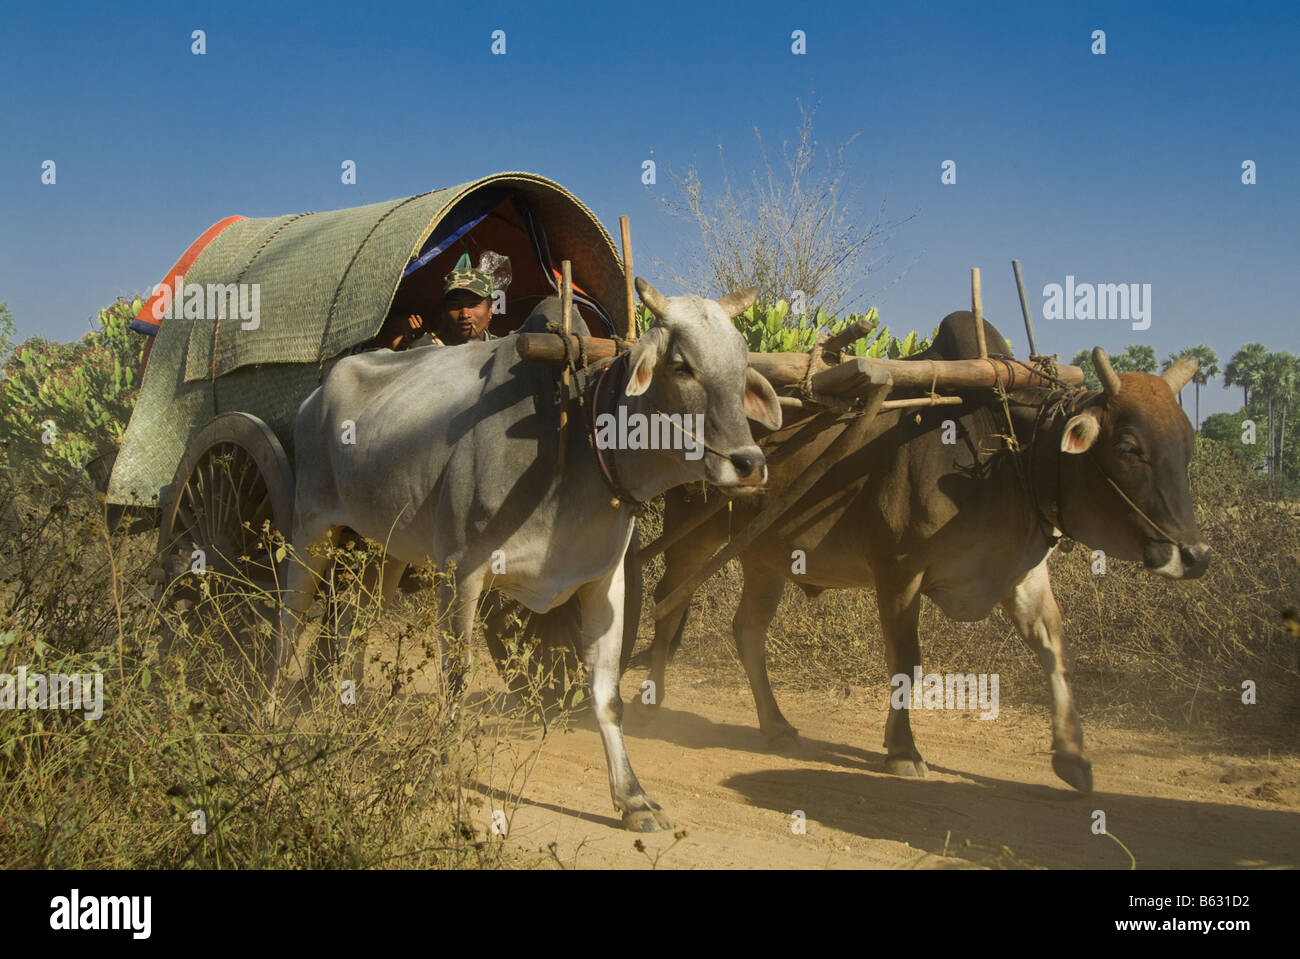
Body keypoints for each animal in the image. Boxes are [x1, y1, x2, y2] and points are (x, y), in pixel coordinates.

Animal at [276, 278, 782, 831]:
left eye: (742, 363)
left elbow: (607, 696)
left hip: (384, 549)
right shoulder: (461, 573)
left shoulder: (605, 583)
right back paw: (267, 718)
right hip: (309, 527)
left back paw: (351, 721)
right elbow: (456, 682)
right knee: (288, 618)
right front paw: (434, 773)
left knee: (355, 624)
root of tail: (319, 390)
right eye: (681, 364)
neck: (578, 437)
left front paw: (632, 798)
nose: (750, 464)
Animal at [643, 312, 1209, 793]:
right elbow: (907, 661)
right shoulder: (899, 570)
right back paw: (652, 701)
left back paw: (777, 725)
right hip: (692, 536)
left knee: (747, 631)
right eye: (1129, 447)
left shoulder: (1023, 574)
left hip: (764, 557)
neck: (1006, 453)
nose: (1195, 555)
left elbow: (1054, 651)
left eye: (1187, 445)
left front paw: (1072, 757)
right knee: (667, 605)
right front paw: (903, 751)